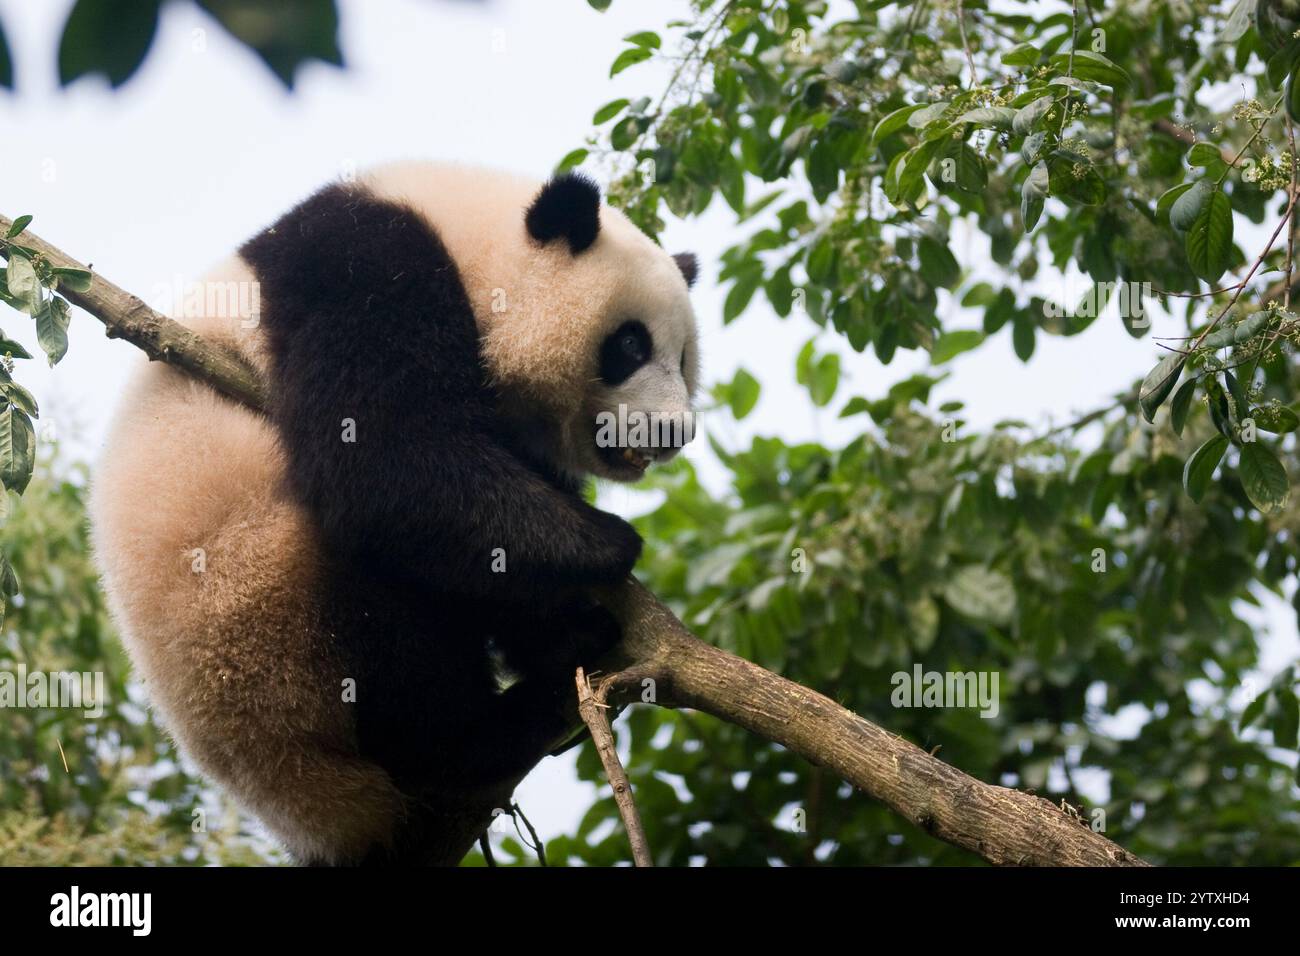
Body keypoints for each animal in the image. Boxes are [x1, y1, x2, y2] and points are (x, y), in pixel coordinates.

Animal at [88, 162, 701, 865]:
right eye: (630, 343)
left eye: (685, 358)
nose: (673, 431)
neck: (471, 239)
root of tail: (318, 822)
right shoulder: (362, 263)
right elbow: (383, 461)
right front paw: (609, 544)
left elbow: (498, 552)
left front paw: (571, 613)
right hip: (268, 632)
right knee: (382, 608)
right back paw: (487, 730)